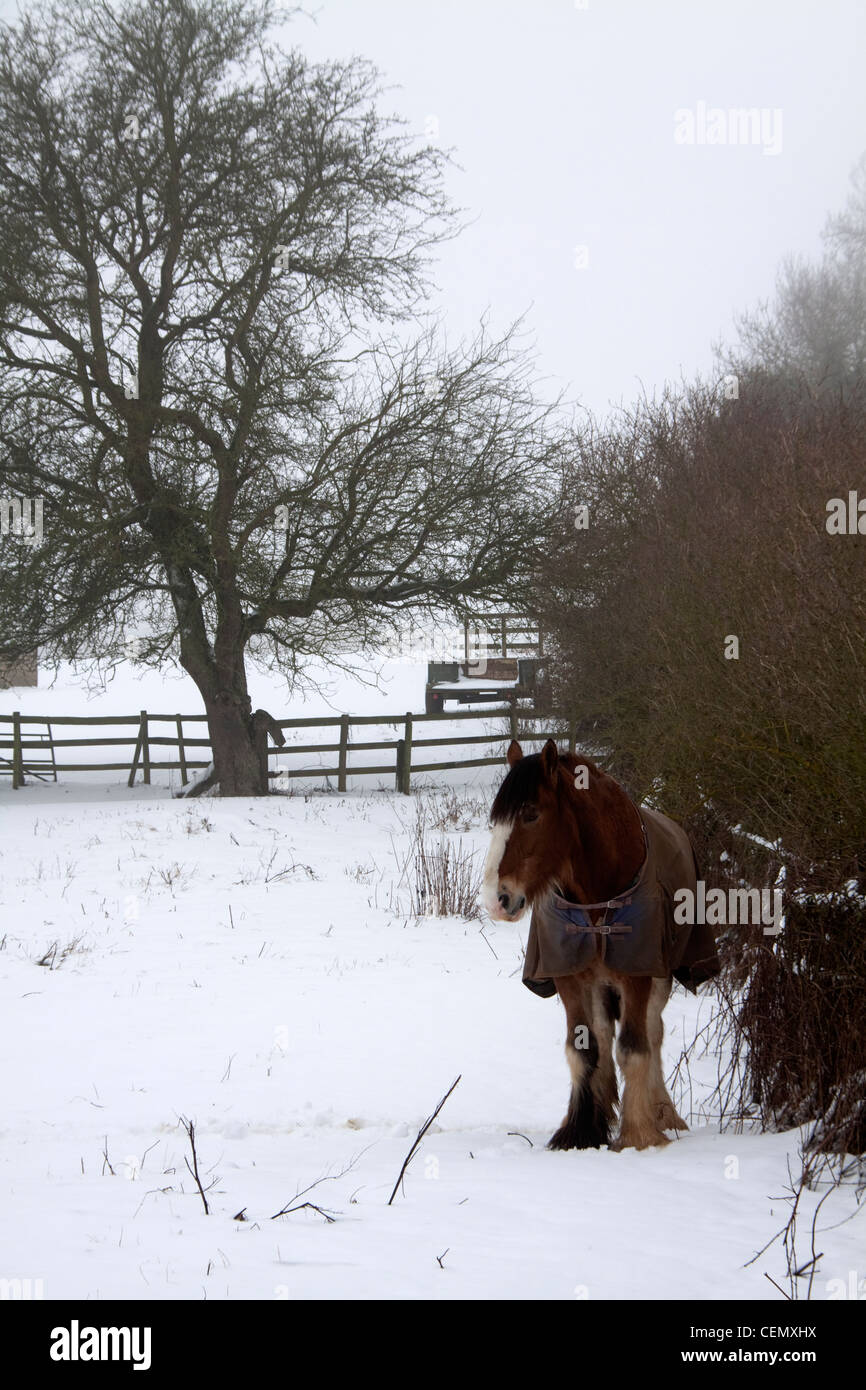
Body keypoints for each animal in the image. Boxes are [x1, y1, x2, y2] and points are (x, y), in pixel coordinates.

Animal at [482, 738, 718, 1151]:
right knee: (605, 1036)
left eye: (530, 814)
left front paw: (638, 1134)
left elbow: (635, 1049)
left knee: (651, 1033)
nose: (497, 899)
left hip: (659, 979)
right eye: (495, 821)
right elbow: (583, 1049)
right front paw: (580, 1129)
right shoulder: (569, 976)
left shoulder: (637, 974)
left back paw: (662, 1112)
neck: (596, 897)